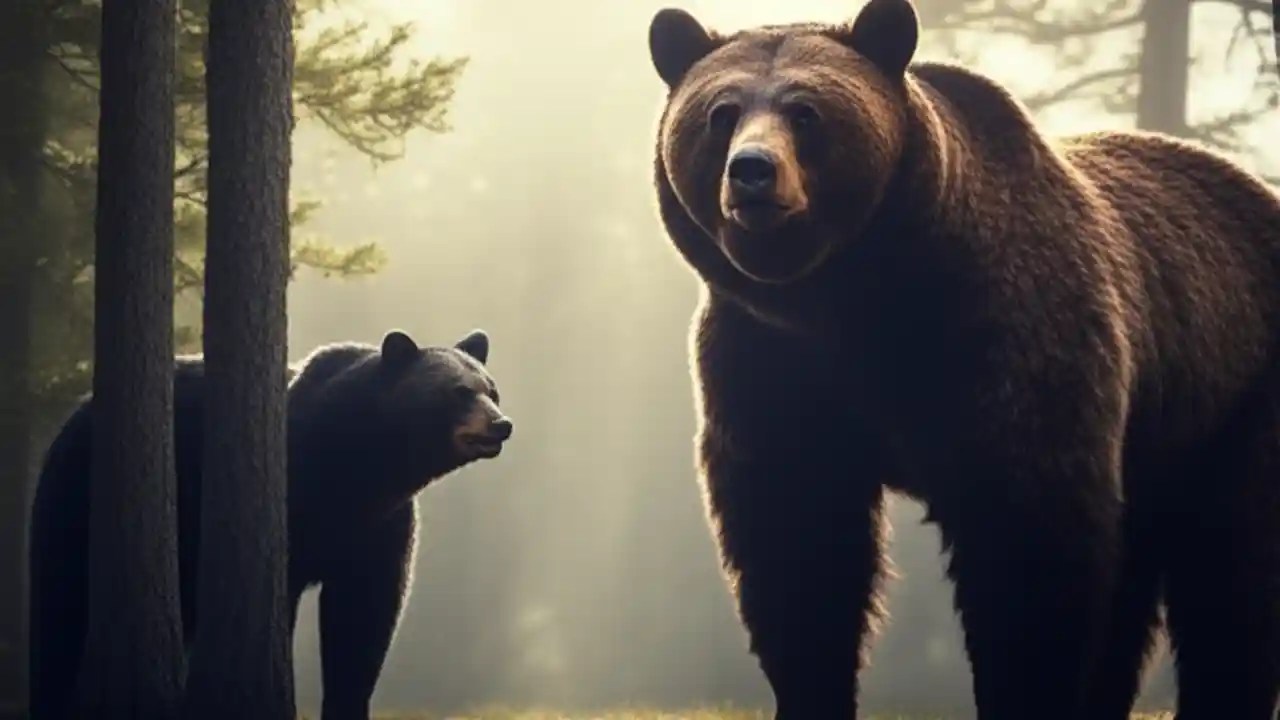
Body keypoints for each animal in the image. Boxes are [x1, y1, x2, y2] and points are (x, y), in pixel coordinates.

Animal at [27, 329, 512, 720]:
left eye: (492, 390)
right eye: (459, 391)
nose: (501, 425)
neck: (362, 469)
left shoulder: (379, 527)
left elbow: (364, 619)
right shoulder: (293, 498)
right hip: (76, 495)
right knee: (59, 605)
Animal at [647, 1, 1280, 718]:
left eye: (807, 111)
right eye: (720, 112)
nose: (752, 171)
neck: (847, 297)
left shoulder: (1003, 338)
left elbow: (1027, 542)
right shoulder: (766, 357)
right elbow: (796, 545)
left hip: (1233, 390)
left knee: (1231, 568)